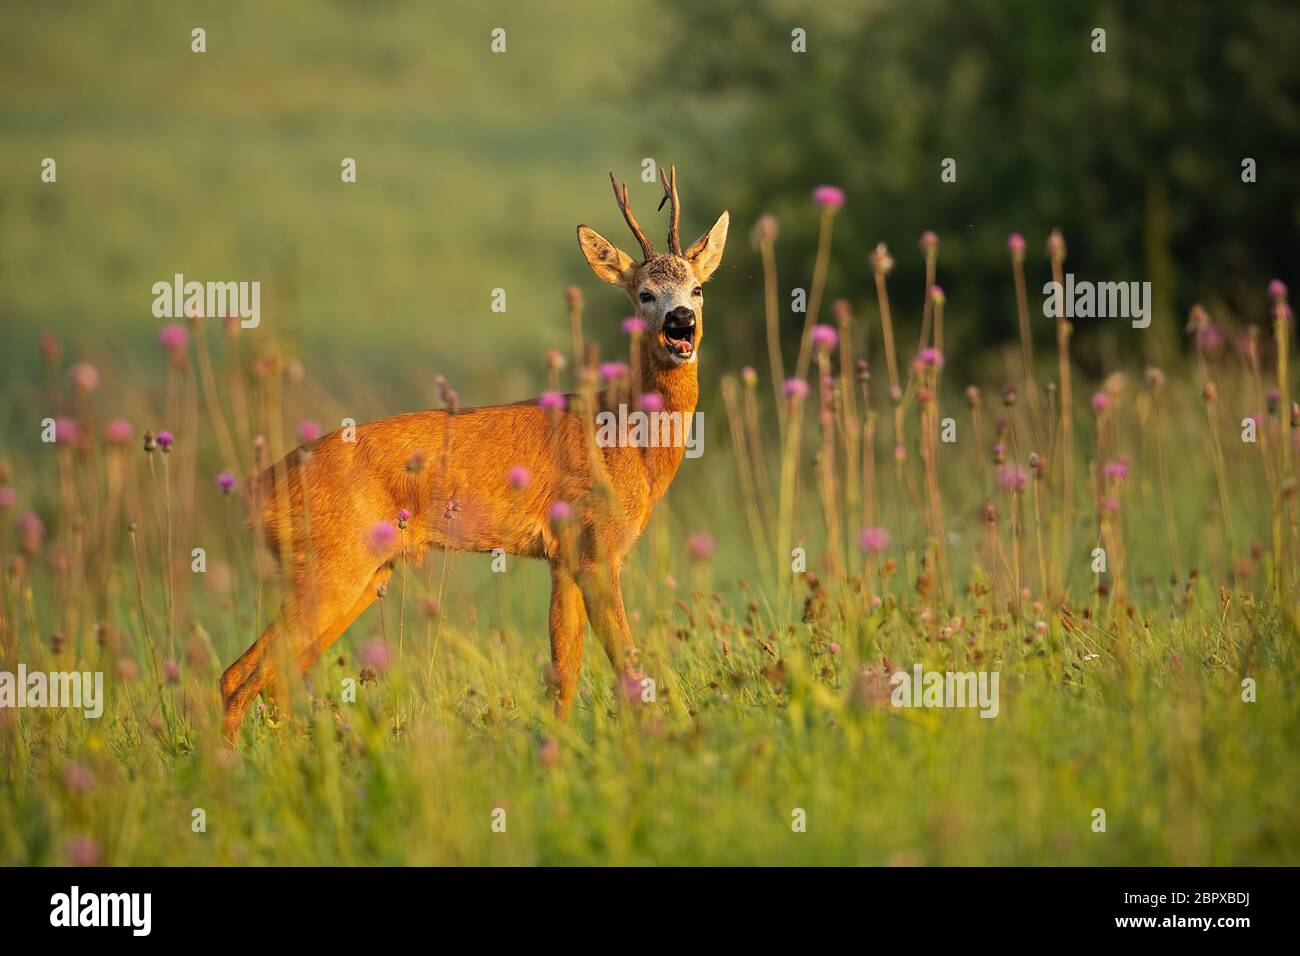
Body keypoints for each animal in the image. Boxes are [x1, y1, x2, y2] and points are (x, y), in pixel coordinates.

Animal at [219, 168, 728, 743]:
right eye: (644, 294)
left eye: (698, 287)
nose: (681, 321)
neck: (625, 436)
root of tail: (260, 488)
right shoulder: (594, 547)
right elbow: (623, 659)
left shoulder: (562, 556)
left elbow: (565, 667)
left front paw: (557, 744)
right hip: (333, 565)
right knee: (242, 678)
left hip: (360, 574)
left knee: (268, 678)